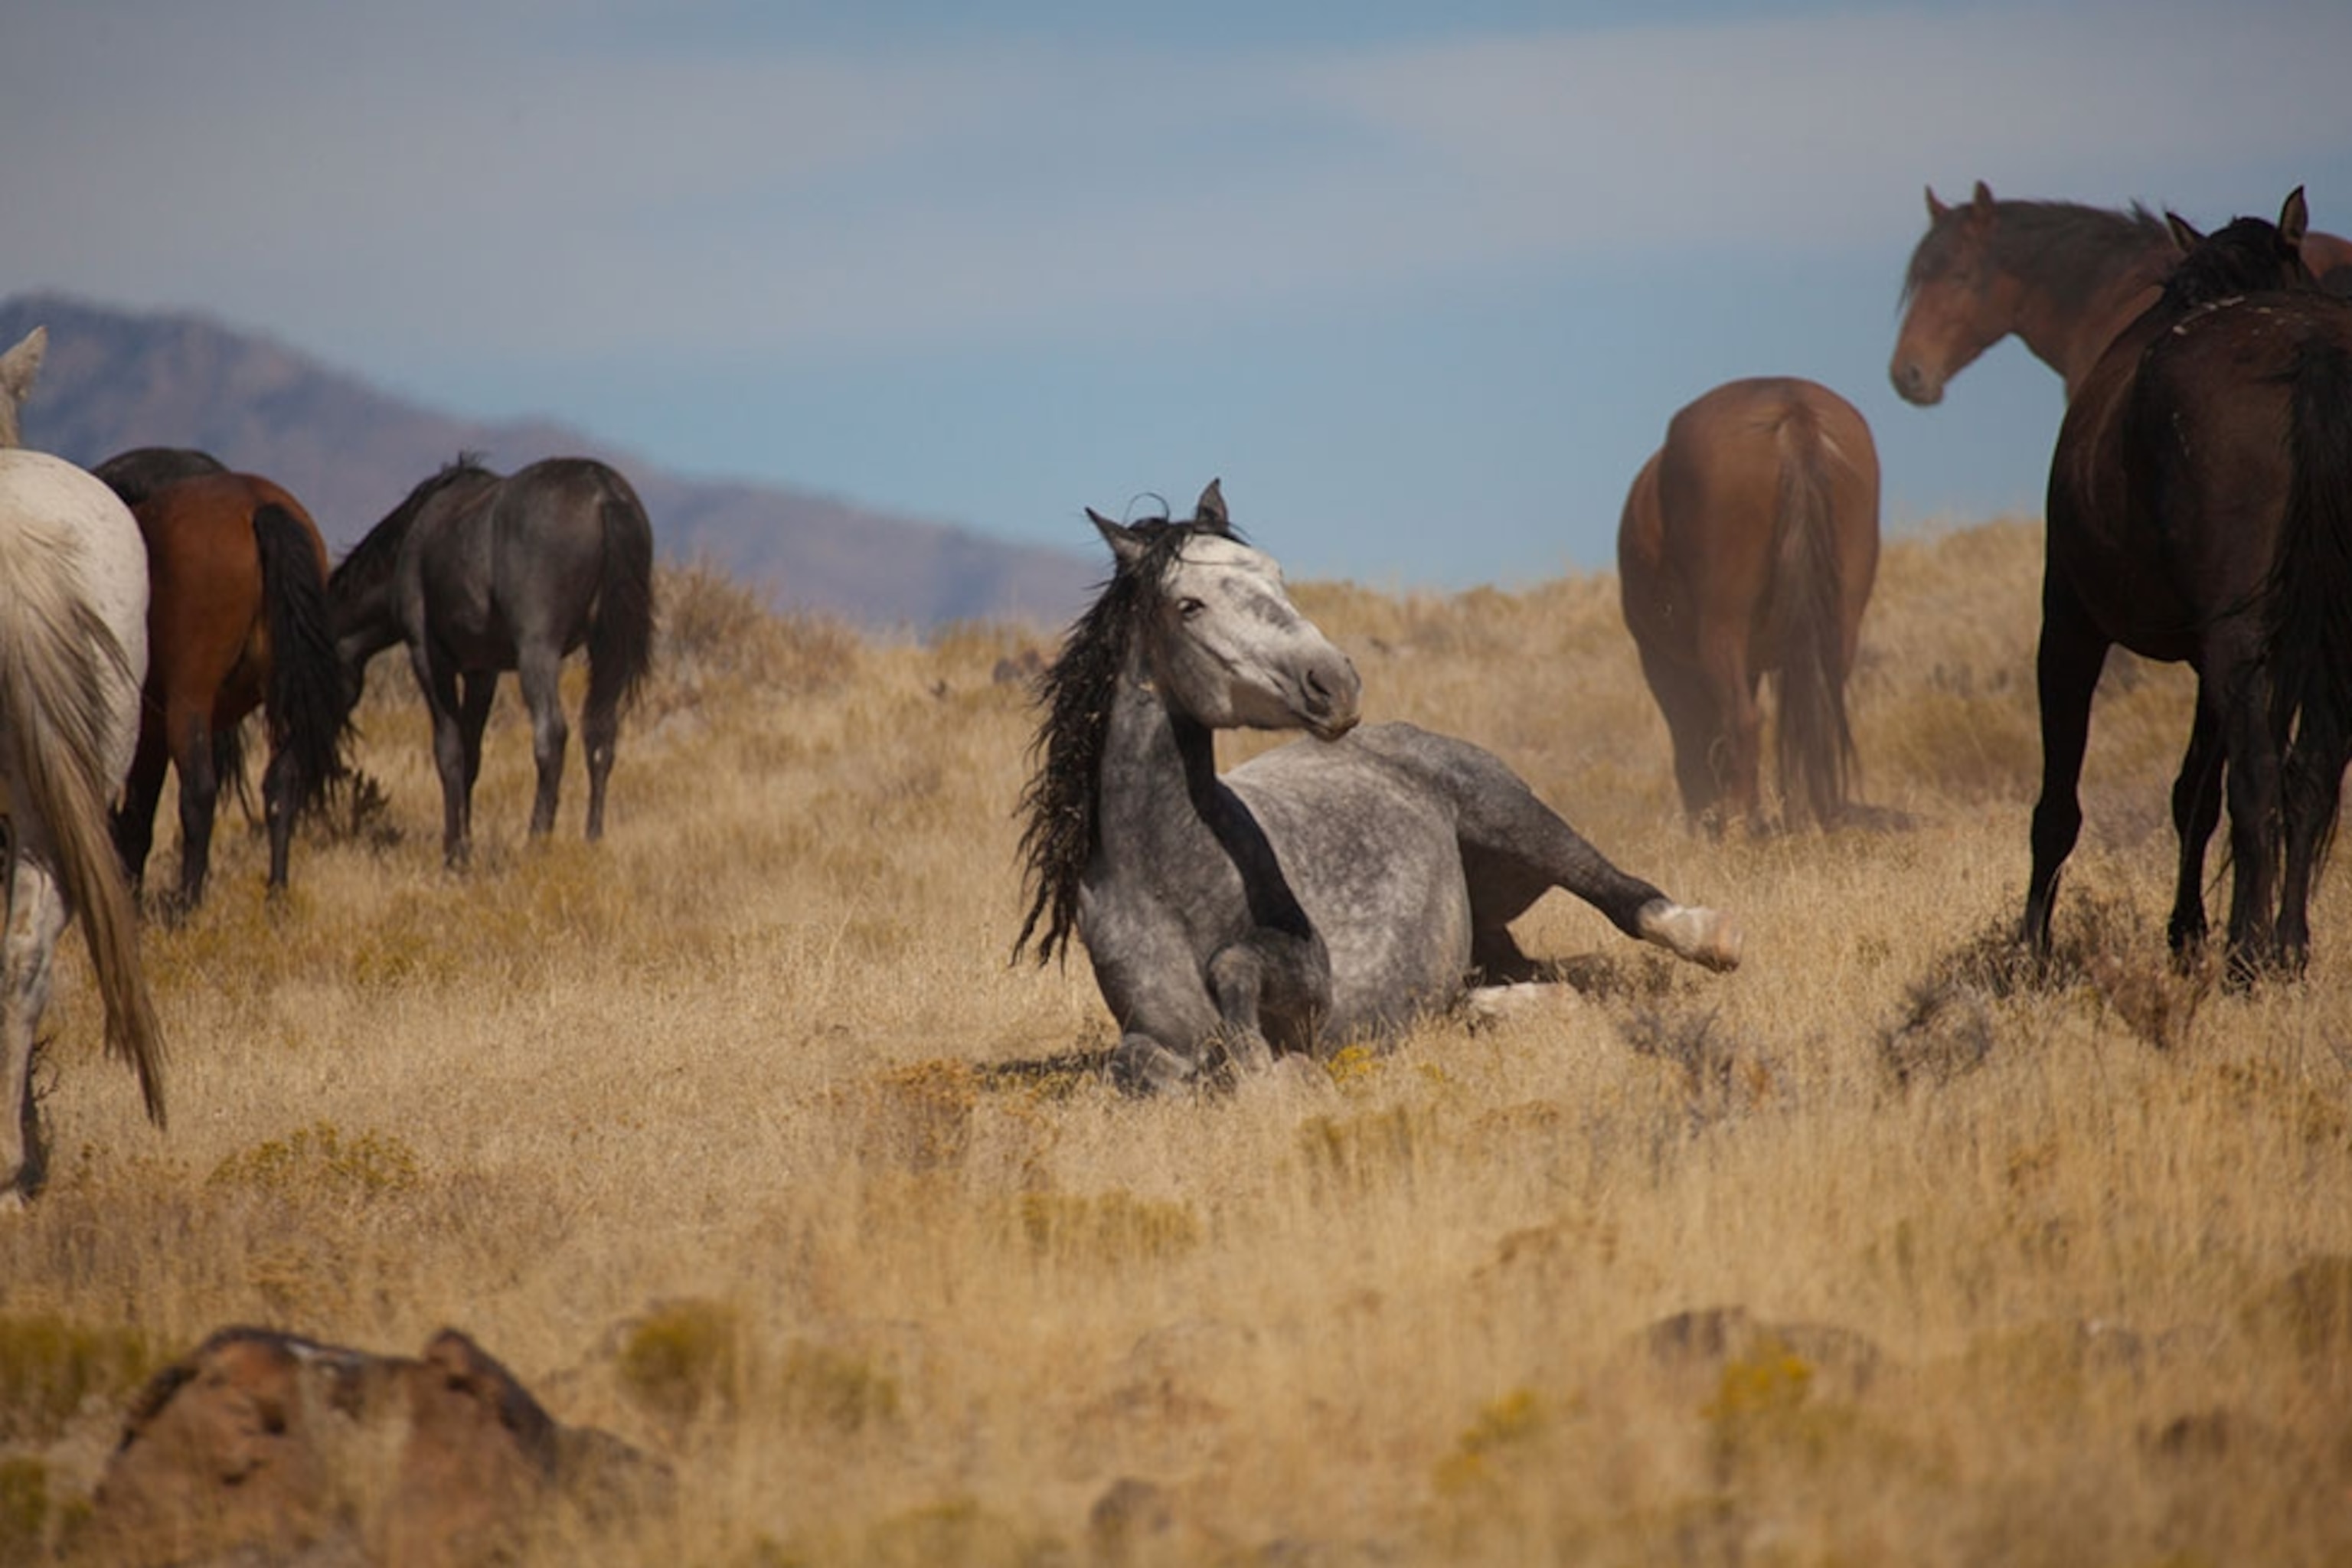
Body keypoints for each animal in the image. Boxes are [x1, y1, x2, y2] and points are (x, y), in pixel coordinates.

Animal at [96, 468, 349, 910]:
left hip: (190, 701)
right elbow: (137, 820)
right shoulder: (150, 735)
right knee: (281, 784)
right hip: (279, 698)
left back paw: (187, 905)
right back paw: (276, 897)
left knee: (199, 792)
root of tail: (258, 505)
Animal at [328, 455, 656, 867]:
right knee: (600, 737)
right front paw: (466, 843)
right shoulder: (482, 671)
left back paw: (536, 842)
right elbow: (471, 755)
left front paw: (454, 853)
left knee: (551, 735)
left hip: (538, 652)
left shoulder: (428, 658)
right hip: (606, 650)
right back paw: (592, 840)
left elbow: (449, 751)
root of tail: (603, 492)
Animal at [1014, 480, 1743, 1094]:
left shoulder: (1310, 979)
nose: (1333, 682)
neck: (1168, 882)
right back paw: (1509, 1002)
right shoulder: (1148, 1037)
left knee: (1620, 895)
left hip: (1516, 819)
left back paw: (1710, 936)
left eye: (1277, 575)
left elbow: (1234, 972)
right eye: (1188, 605)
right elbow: (1134, 1067)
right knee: (1510, 977)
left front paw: (1275, 1077)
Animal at [1617, 378, 1879, 833]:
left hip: (1721, 628)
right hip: (1838, 621)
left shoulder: (1660, 660)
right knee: (1815, 716)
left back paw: (1743, 823)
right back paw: (1814, 816)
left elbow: (1690, 747)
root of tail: (1790, 408)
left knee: (1741, 721)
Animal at [2031, 188, 2352, 978]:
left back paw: (2248, 954)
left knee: (2258, 781)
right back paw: (2286, 948)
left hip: (2228, 636)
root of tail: (2310, 355)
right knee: (2308, 770)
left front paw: (2031, 949)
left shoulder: (2069, 621)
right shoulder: (2217, 657)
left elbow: (2060, 806)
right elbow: (2193, 797)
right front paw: (2187, 934)